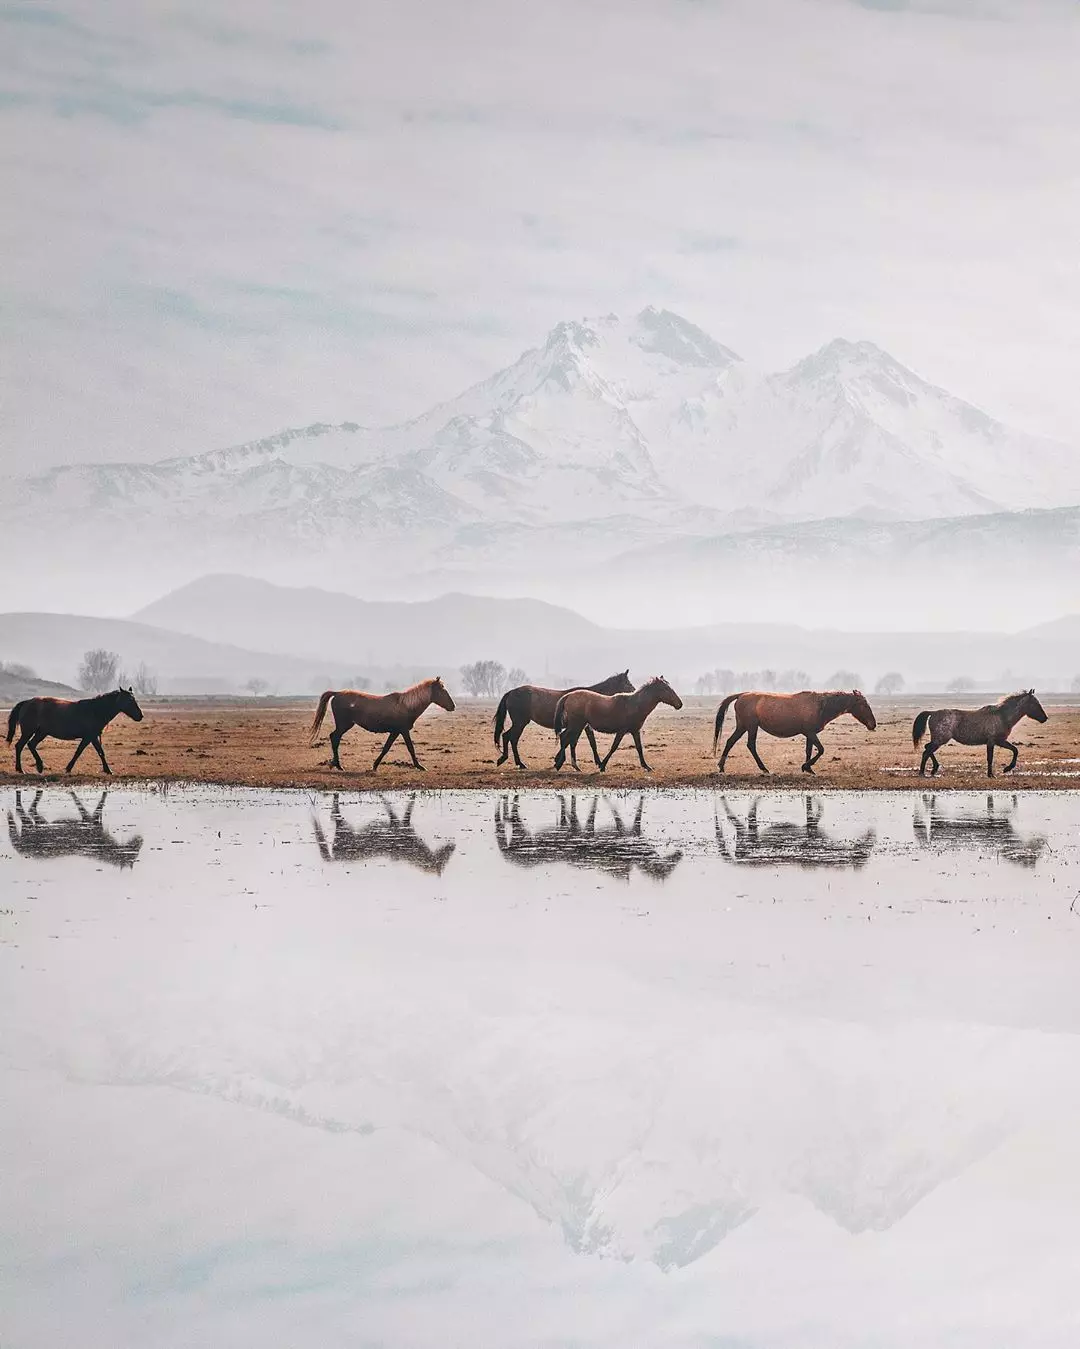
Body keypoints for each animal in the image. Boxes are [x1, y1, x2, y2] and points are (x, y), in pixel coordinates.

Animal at [5, 690, 142, 777]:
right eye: (129, 700)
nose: (140, 716)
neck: (94, 710)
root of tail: (27, 702)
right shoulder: (90, 736)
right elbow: (90, 752)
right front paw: (108, 770)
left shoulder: (90, 737)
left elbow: (89, 752)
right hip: (29, 731)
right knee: (20, 746)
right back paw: (23, 769)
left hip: (41, 732)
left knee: (30, 745)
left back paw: (37, 767)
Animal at [307, 679, 455, 777]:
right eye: (442, 690)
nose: (452, 706)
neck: (406, 706)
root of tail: (337, 693)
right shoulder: (402, 731)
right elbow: (409, 748)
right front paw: (420, 766)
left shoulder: (396, 732)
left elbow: (386, 748)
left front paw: (374, 766)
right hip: (344, 724)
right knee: (334, 738)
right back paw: (338, 765)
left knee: (334, 738)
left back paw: (335, 764)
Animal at [490, 671, 631, 777]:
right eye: (628, 683)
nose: (634, 691)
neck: (591, 698)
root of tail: (511, 692)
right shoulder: (581, 726)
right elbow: (582, 742)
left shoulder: (583, 726)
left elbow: (589, 743)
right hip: (520, 723)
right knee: (511, 738)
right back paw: (515, 762)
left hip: (520, 723)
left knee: (509, 737)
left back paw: (512, 761)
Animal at [717, 690, 873, 777]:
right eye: (864, 704)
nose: (873, 724)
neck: (820, 706)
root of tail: (741, 695)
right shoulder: (810, 733)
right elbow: (821, 749)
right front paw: (806, 766)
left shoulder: (809, 734)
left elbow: (809, 751)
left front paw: (809, 768)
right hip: (751, 726)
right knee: (750, 745)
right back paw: (764, 769)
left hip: (743, 726)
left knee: (730, 741)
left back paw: (721, 767)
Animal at [911, 685, 1046, 782]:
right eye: (1035, 703)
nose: (1045, 718)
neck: (1002, 716)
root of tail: (933, 713)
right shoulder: (992, 742)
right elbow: (990, 758)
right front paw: (993, 774)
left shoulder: (1000, 741)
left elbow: (1015, 750)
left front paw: (1005, 769)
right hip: (940, 740)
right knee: (926, 751)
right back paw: (924, 772)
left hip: (938, 740)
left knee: (927, 749)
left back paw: (933, 769)